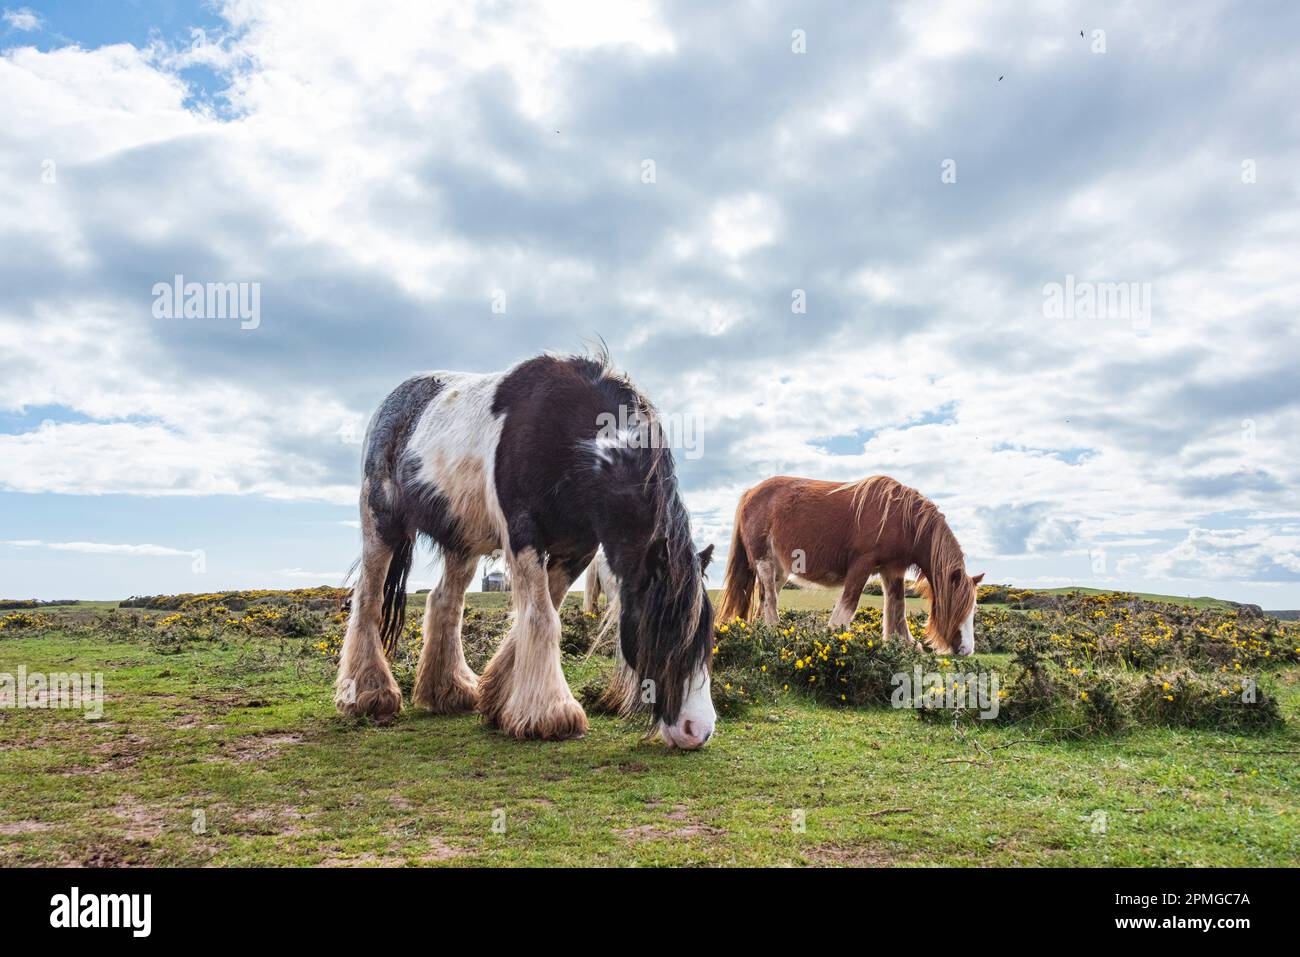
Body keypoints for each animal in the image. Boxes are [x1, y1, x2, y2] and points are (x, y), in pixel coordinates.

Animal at [334, 351, 718, 748]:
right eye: (665, 630)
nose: (698, 729)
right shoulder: (523, 534)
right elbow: (542, 617)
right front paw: (550, 715)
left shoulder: (577, 550)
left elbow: (536, 616)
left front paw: (498, 697)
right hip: (380, 524)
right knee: (369, 598)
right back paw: (368, 694)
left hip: (463, 541)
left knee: (444, 602)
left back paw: (449, 691)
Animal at [717, 475, 983, 655]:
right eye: (959, 608)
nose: (967, 649)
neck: (903, 519)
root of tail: (750, 493)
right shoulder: (862, 565)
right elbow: (848, 607)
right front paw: (830, 641)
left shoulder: (892, 570)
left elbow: (897, 608)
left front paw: (904, 645)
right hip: (765, 562)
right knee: (769, 599)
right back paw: (774, 634)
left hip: (779, 570)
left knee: (764, 600)